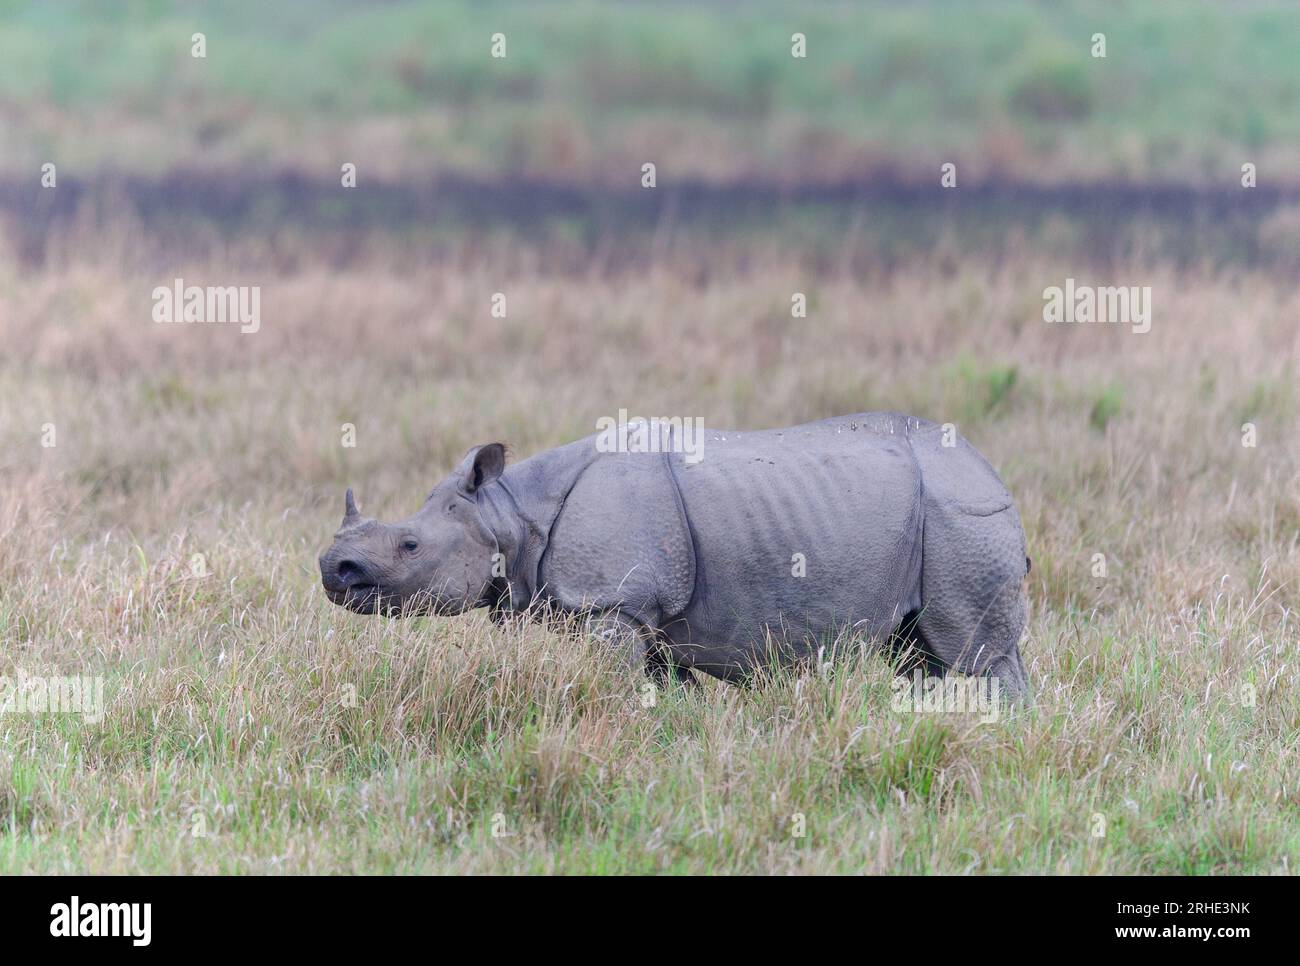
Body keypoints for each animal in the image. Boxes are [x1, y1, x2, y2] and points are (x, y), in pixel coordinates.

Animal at [319, 413, 1031, 698]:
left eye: (409, 545)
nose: (333, 573)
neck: (511, 513)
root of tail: (991, 471)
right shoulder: (653, 620)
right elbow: (668, 692)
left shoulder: (615, 606)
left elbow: (611, 683)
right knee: (924, 653)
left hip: (960, 515)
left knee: (975, 654)